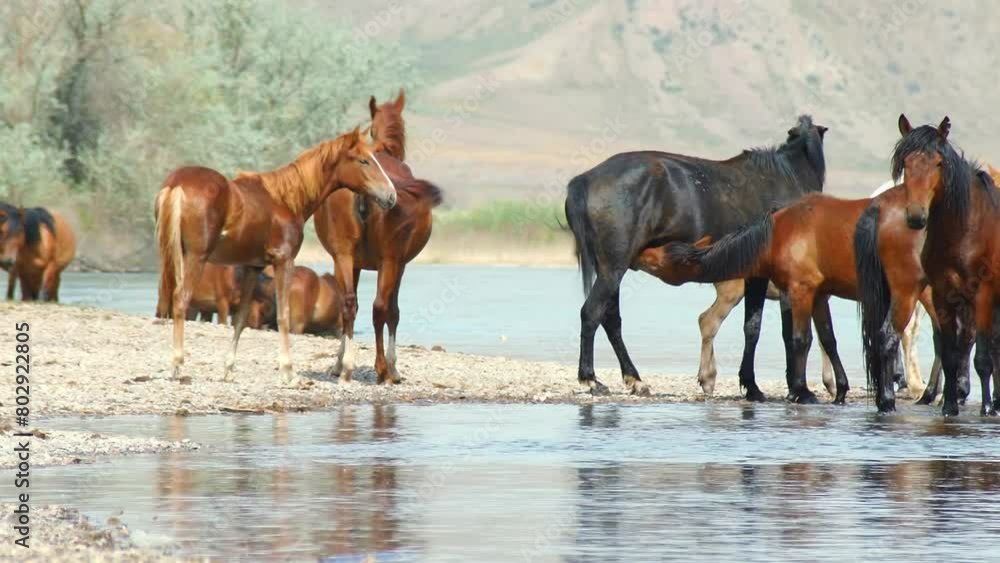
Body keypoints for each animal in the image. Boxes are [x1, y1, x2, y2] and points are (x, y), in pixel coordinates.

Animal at [154, 127, 396, 384]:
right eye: (364, 160)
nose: (391, 196)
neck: (285, 200)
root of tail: (176, 185)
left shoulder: (253, 267)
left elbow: (240, 319)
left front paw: (228, 369)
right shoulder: (284, 261)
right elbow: (283, 315)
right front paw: (288, 371)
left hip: (175, 255)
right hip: (195, 257)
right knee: (180, 300)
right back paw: (178, 365)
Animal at [313, 89, 444, 385]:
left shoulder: (353, 262)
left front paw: (339, 361)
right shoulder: (399, 263)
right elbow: (392, 312)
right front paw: (392, 368)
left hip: (343, 257)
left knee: (349, 304)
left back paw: (346, 367)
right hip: (390, 261)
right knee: (381, 308)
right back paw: (384, 368)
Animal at [565, 115, 827, 398]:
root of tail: (586, 179)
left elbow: (753, 327)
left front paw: (754, 386)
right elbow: (784, 332)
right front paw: (791, 389)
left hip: (611, 268)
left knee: (611, 318)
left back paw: (635, 379)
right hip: (613, 268)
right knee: (591, 312)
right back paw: (591, 379)